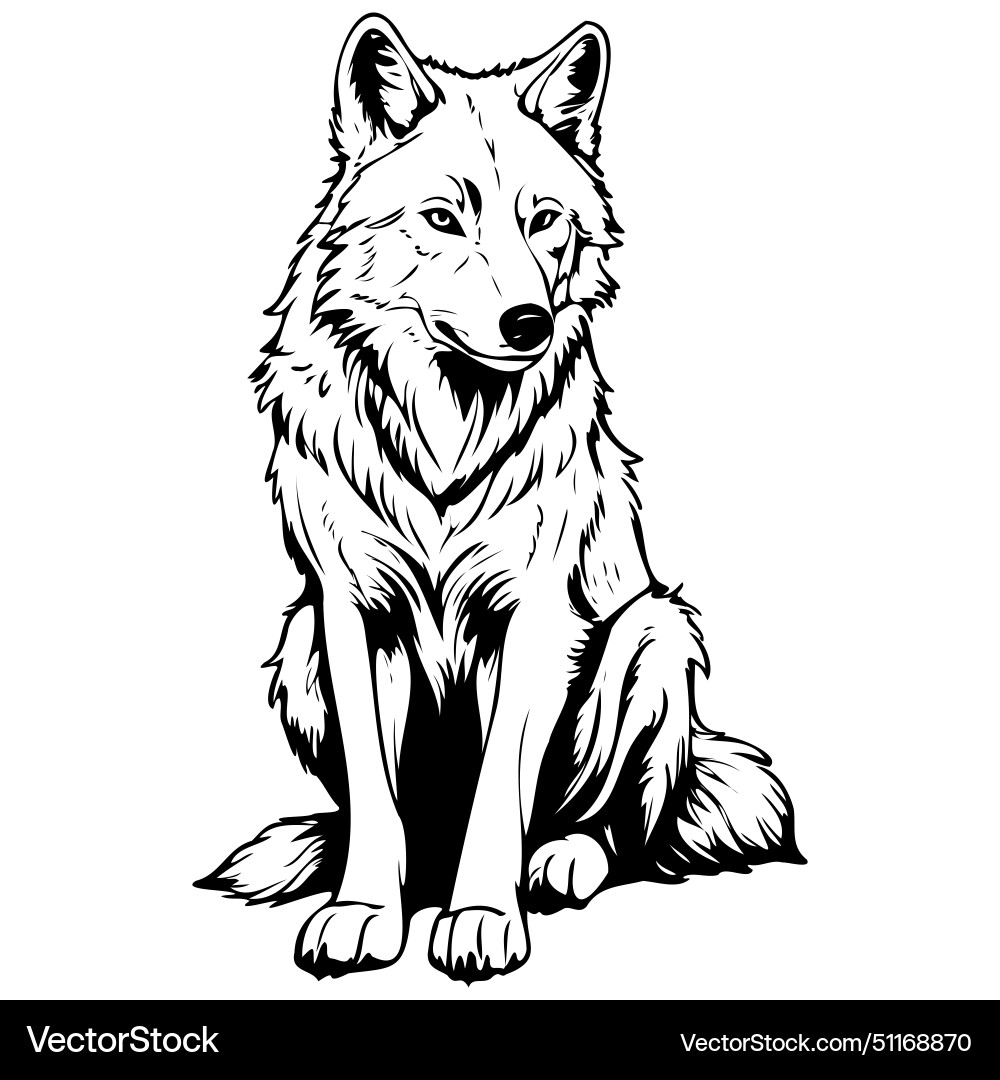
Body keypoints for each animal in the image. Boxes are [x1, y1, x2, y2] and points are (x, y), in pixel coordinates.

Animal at [196, 14, 803, 982]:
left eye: (543, 220)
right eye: (444, 220)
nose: (531, 323)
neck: (446, 430)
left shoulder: (535, 615)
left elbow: (497, 793)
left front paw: (481, 916)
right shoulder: (345, 610)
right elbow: (375, 795)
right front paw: (364, 911)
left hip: (654, 631)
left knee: (609, 823)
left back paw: (560, 861)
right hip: (297, 643)